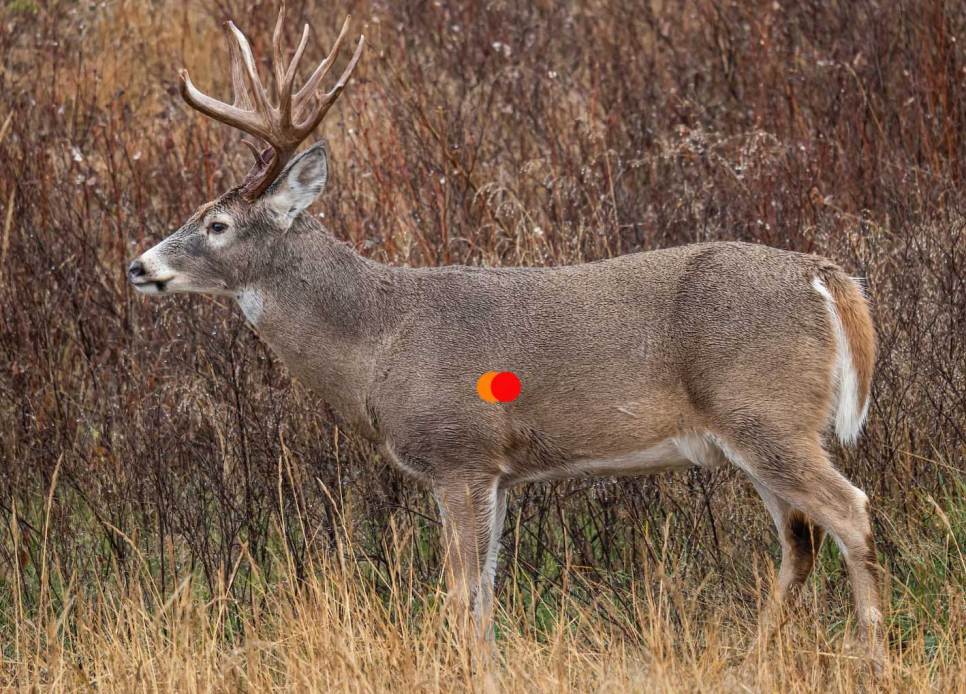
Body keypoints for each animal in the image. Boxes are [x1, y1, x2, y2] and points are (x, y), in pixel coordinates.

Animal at [127, 5, 884, 668]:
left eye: (217, 223)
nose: (139, 266)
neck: (376, 339)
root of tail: (825, 278)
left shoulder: (459, 453)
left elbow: (462, 592)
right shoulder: (498, 472)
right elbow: (487, 594)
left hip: (765, 412)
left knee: (851, 511)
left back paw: (872, 656)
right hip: (755, 430)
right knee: (801, 541)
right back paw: (752, 659)